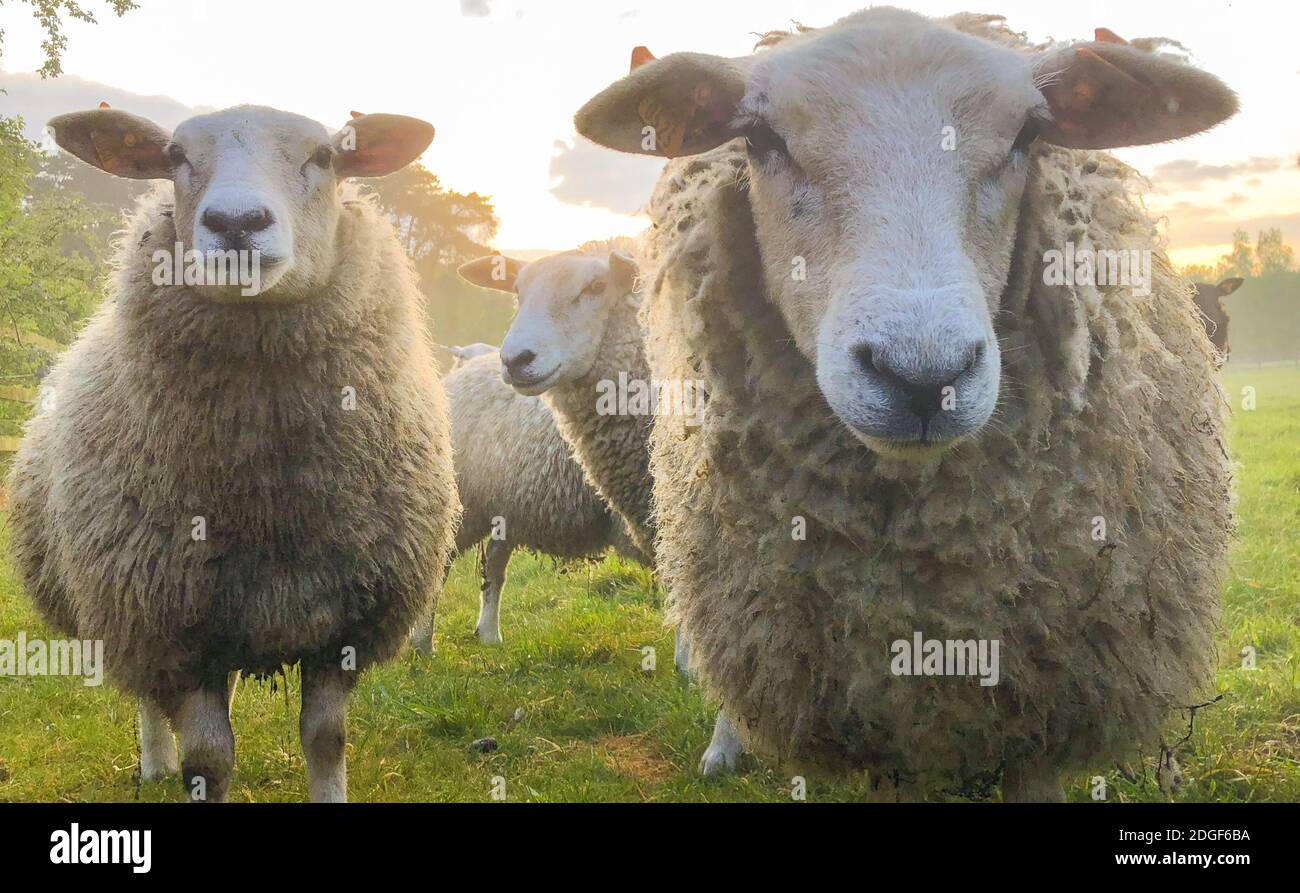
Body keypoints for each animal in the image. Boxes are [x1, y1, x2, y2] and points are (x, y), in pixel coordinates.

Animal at [8, 105, 457, 802]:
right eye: (173, 156)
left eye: (325, 157)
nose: (237, 223)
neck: (268, 493)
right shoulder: (170, 627)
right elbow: (209, 760)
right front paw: (187, 767)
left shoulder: (341, 626)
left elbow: (327, 740)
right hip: (125, 609)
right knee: (146, 697)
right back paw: (155, 762)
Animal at [409, 347, 645, 650]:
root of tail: (468, 363)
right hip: (462, 505)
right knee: (439, 566)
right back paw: (423, 642)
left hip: (507, 510)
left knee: (494, 564)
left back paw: (488, 634)